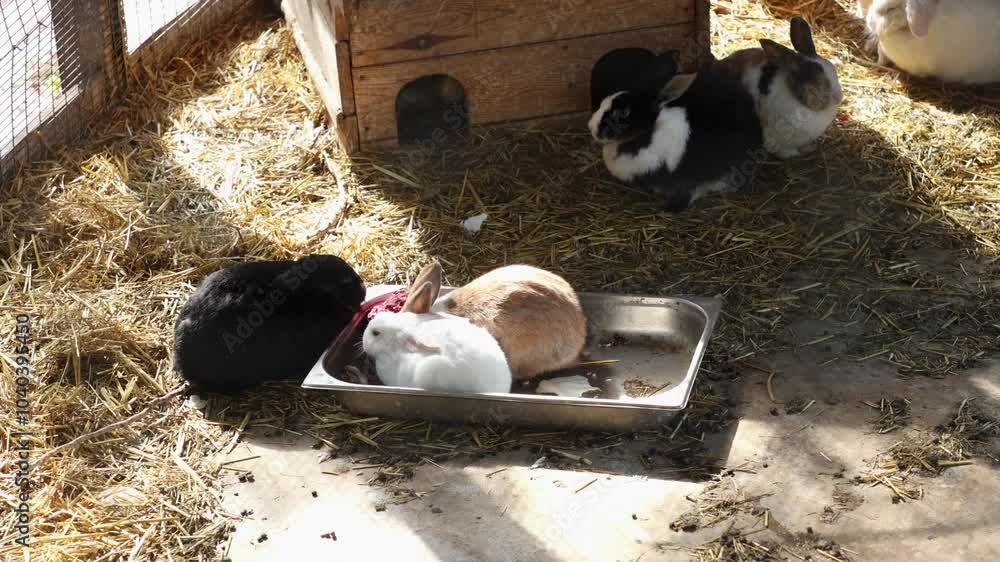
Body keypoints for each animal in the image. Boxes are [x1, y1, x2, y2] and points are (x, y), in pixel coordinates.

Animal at [589, 50, 764, 212]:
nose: (591, 128)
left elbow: (689, 192)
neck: (645, 138)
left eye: (623, 113)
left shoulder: (689, 176)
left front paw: (670, 209)